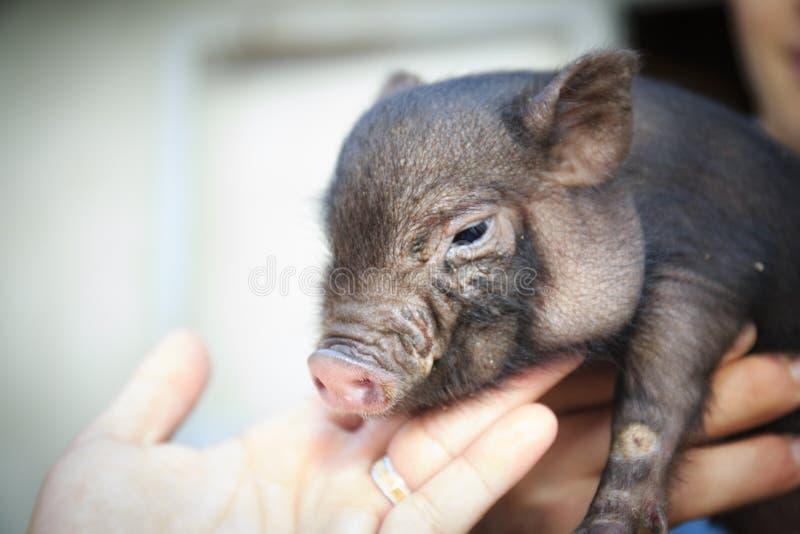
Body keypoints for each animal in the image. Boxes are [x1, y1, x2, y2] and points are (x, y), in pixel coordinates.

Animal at [306, 50, 800, 533]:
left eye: (471, 232)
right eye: (334, 236)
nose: (332, 364)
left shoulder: (709, 262)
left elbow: (657, 395)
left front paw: (605, 528)